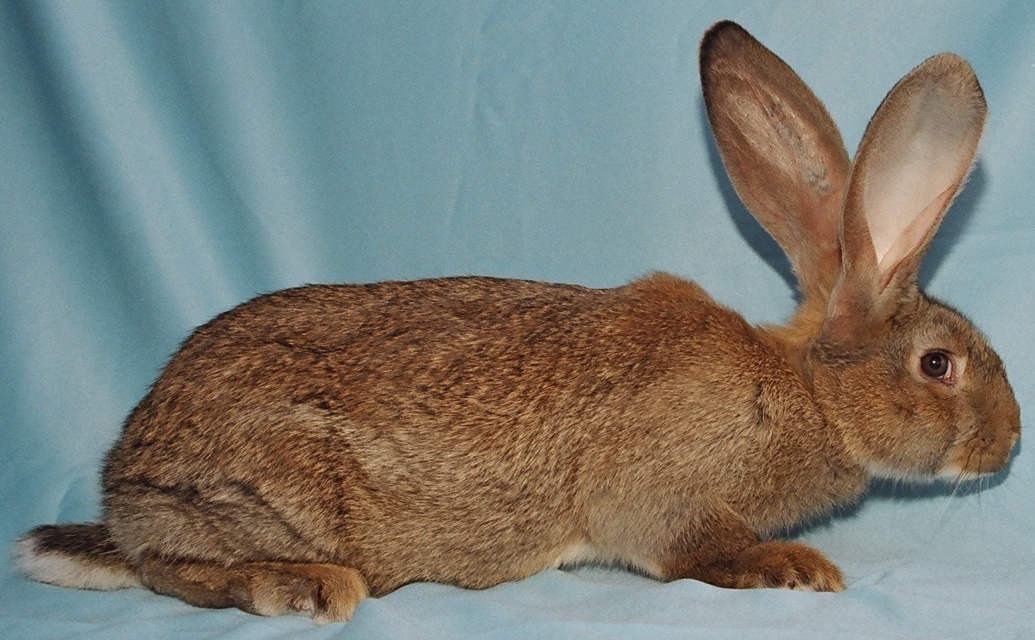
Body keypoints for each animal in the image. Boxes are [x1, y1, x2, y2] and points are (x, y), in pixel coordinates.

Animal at [16, 20, 1020, 624]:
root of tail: (125, 478)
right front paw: (793, 568)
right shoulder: (658, 492)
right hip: (264, 496)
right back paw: (306, 588)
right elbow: (687, 548)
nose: (1009, 444)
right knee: (168, 568)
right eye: (938, 365)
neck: (804, 390)